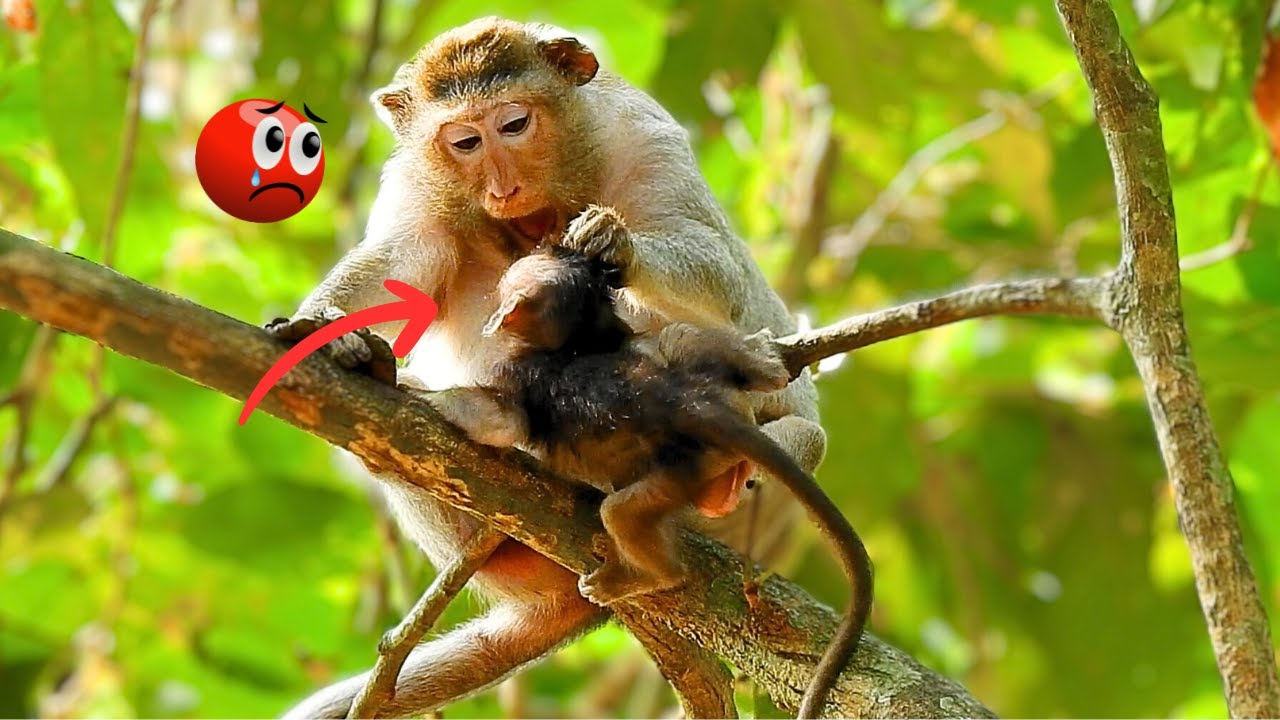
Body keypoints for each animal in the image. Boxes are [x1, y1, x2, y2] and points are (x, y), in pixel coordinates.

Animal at [422, 206, 873, 717]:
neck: (574, 340)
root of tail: (703, 409)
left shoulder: (514, 374)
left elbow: (497, 423)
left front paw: (425, 394)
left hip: (687, 469)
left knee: (622, 512)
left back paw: (650, 576)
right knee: (678, 338)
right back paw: (767, 365)